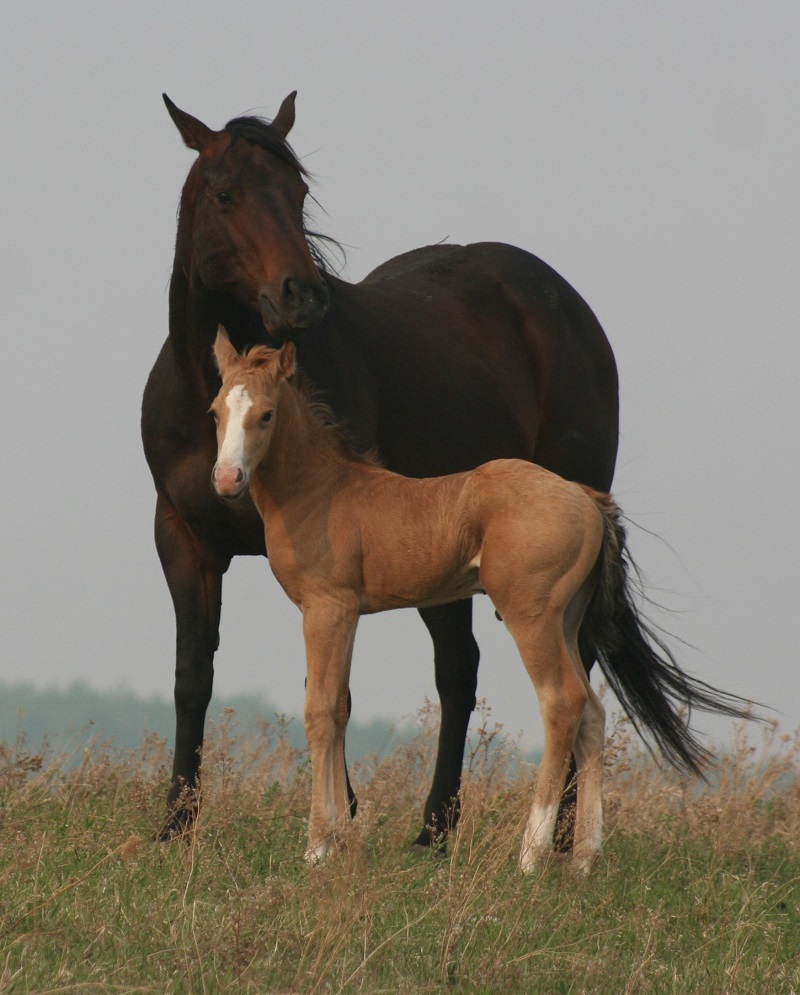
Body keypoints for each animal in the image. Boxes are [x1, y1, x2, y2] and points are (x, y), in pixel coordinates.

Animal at [142, 91, 622, 845]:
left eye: (298, 191)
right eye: (225, 193)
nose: (302, 294)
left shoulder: (331, 580)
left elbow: (330, 695)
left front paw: (335, 827)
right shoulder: (184, 540)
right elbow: (194, 676)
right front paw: (175, 827)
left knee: (559, 686)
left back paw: (541, 833)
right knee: (466, 673)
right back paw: (447, 830)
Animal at [209, 328, 753, 872]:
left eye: (266, 414)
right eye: (215, 411)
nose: (227, 480)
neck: (323, 491)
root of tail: (585, 498)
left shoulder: (327, 609)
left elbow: (320, 711)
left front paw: (318, 848)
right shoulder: (347, 615)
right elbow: (340, 708)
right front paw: (343, 840)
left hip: (530, 616)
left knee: (562, 702)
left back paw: (530, 855)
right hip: (567, 620)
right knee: (593, 715)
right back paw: (583, 860)